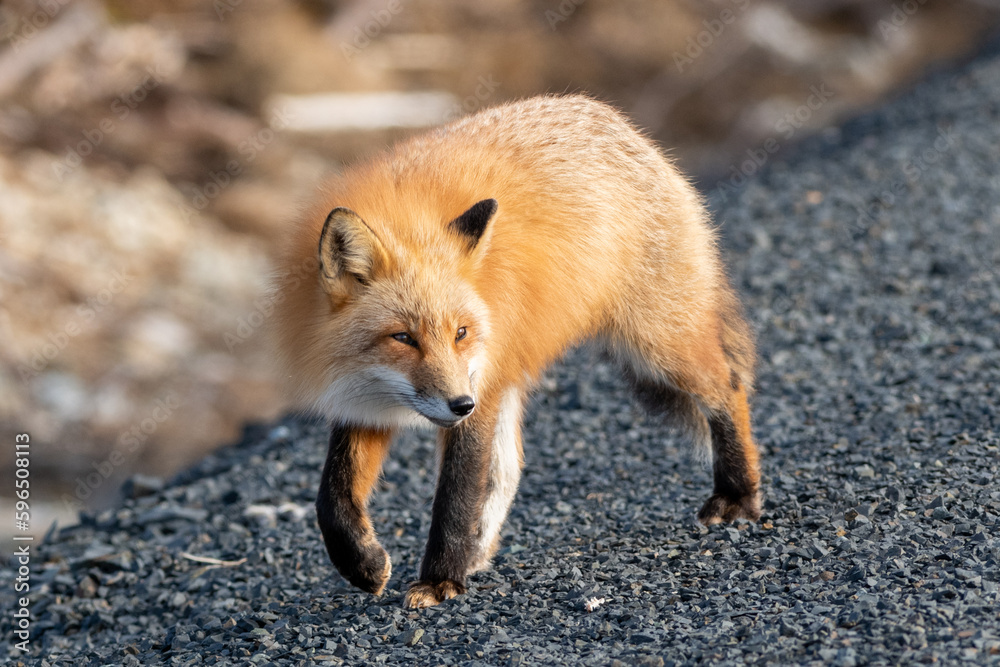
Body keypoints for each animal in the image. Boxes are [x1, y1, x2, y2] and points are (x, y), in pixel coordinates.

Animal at [271, 94, 761, 609]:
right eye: (403, 338)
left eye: (460, 332)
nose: (459, 405)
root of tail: (617, 121)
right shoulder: (369, 399)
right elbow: (332, 496)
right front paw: (363, 565)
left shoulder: (477, 387)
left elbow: (455, 495)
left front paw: (440, 581)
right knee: (508, 471)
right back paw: (477, 552)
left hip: (656, 346)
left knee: (728, 387)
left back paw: (739, 494)